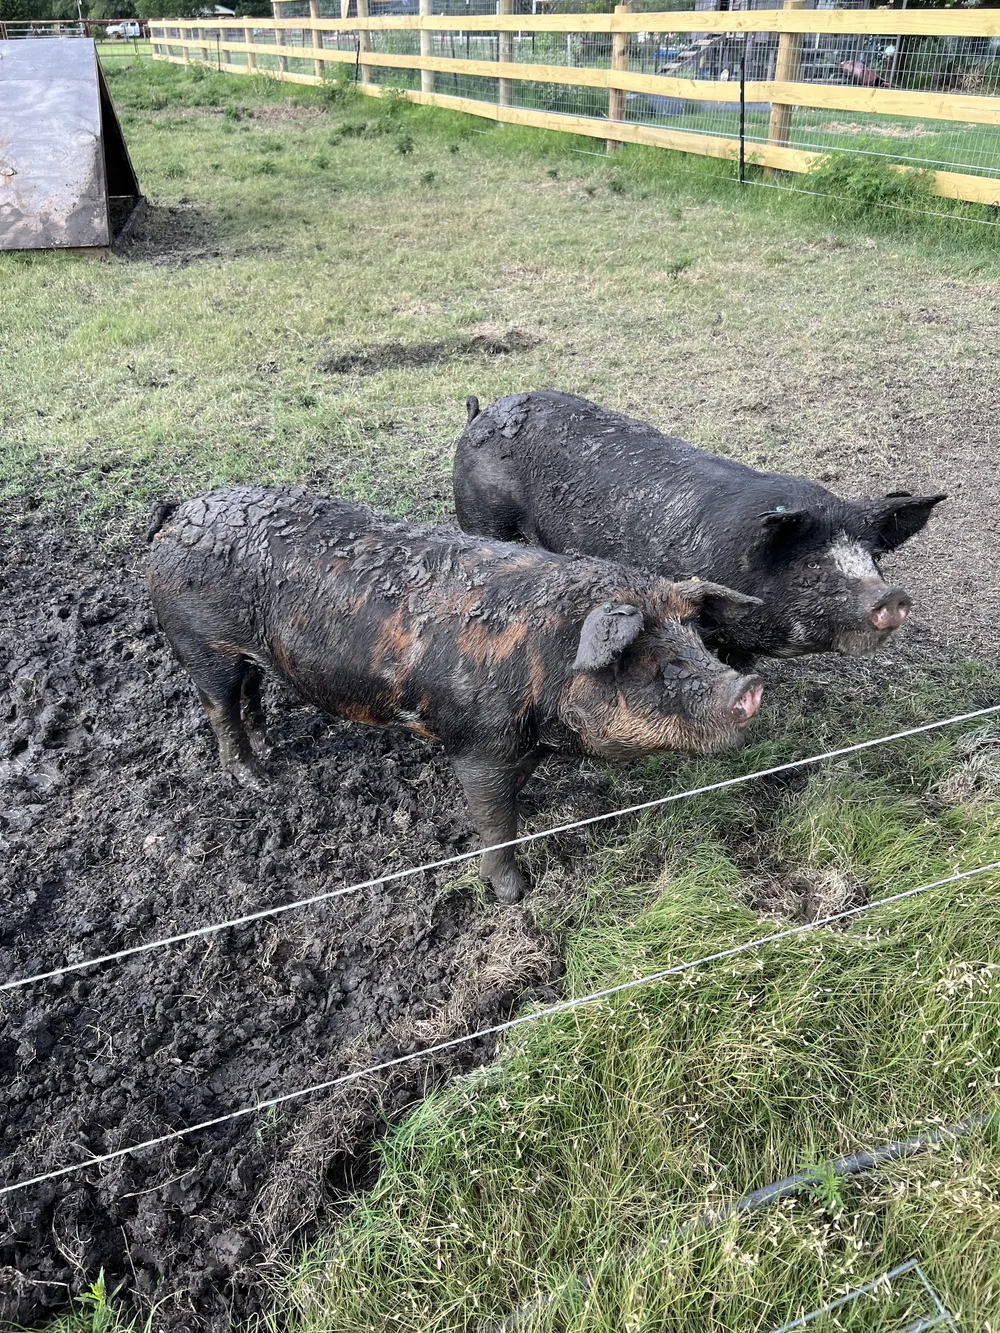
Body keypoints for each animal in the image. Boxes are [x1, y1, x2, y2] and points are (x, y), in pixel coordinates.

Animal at [147, 486, 764, 903]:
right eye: (651, 660)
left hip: (248, 653)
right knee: (219, 707)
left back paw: (271, 753)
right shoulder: (478, 740)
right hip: (199, 643)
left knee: (249, 693)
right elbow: (494, 820)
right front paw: (514, 894)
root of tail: (179, 514)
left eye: (694, 639)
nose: (751, 686)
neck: (548, 665)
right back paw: (258, 780)